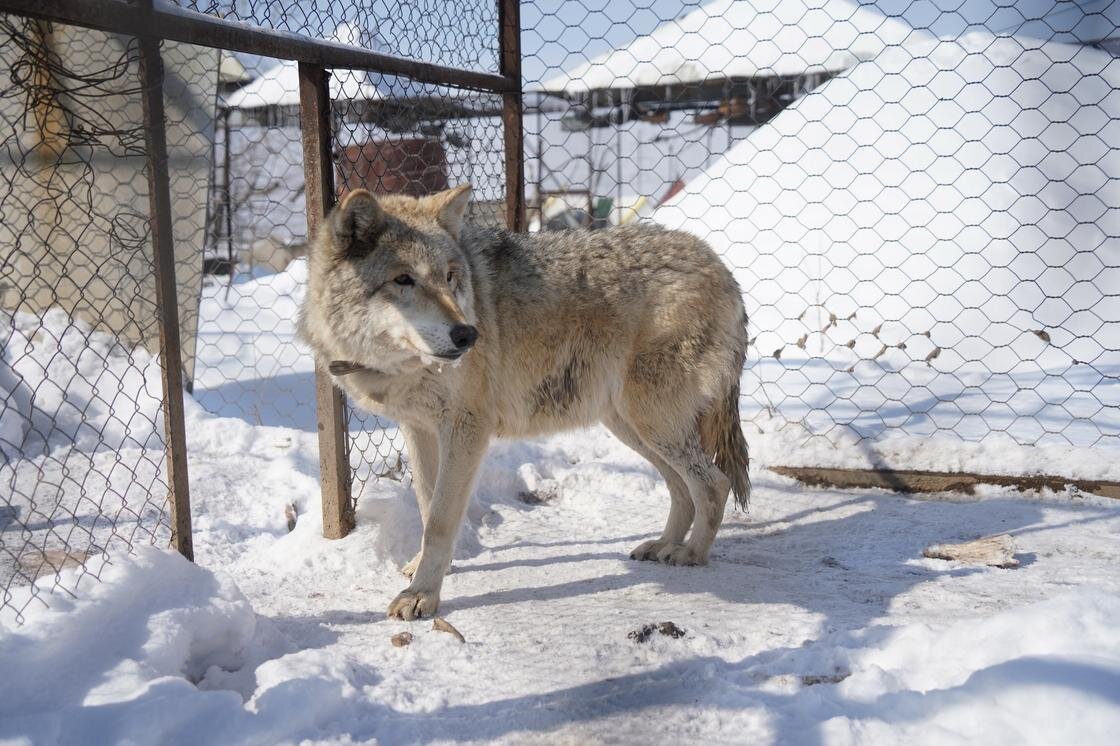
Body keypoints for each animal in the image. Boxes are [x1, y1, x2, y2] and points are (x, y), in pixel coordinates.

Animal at [299, 184, 750, 620]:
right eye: (403, 279)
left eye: (450, 277)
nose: (468, 334)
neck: (398, 365)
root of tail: (721, 267)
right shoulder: (420, 429)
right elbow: (428, 505)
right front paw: (424, 570)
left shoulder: (466, 427)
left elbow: (442, 519)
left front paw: (422, 595)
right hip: (632, 426)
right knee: (681, 487)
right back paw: (662, 544)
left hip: (652, 423)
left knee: (714, 483)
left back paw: (690, 553)